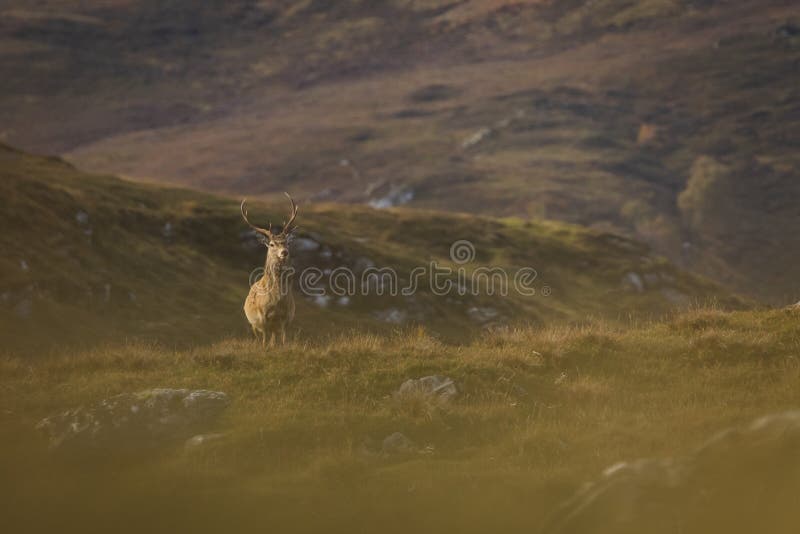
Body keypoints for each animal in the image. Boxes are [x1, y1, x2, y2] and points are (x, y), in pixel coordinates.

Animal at [241, 193, 298, 347]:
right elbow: (264, 340)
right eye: (272, 244)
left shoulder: (286, 317)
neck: (276, 301)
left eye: (287, 242)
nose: (284, 252)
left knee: (274, 338)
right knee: (261, 337)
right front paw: (263, 348)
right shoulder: (262, 316)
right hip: (253, 324)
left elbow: (283, 339)